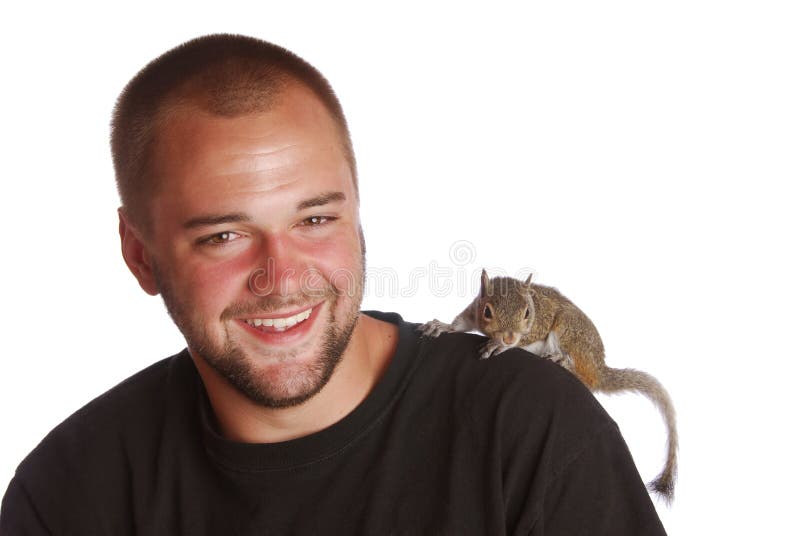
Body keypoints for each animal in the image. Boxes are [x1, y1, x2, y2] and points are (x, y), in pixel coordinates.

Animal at [418, 269, 678, 503]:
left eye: (527, 313)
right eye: (487, 311)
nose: (508, 338)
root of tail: (599, 367)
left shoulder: (539, 325)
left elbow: (527, 337)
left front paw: (499, 345)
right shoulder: (474, 310)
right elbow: (461, 322)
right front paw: (443, 326)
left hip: (568, 330)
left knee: (584, 376)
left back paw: (562, 360)